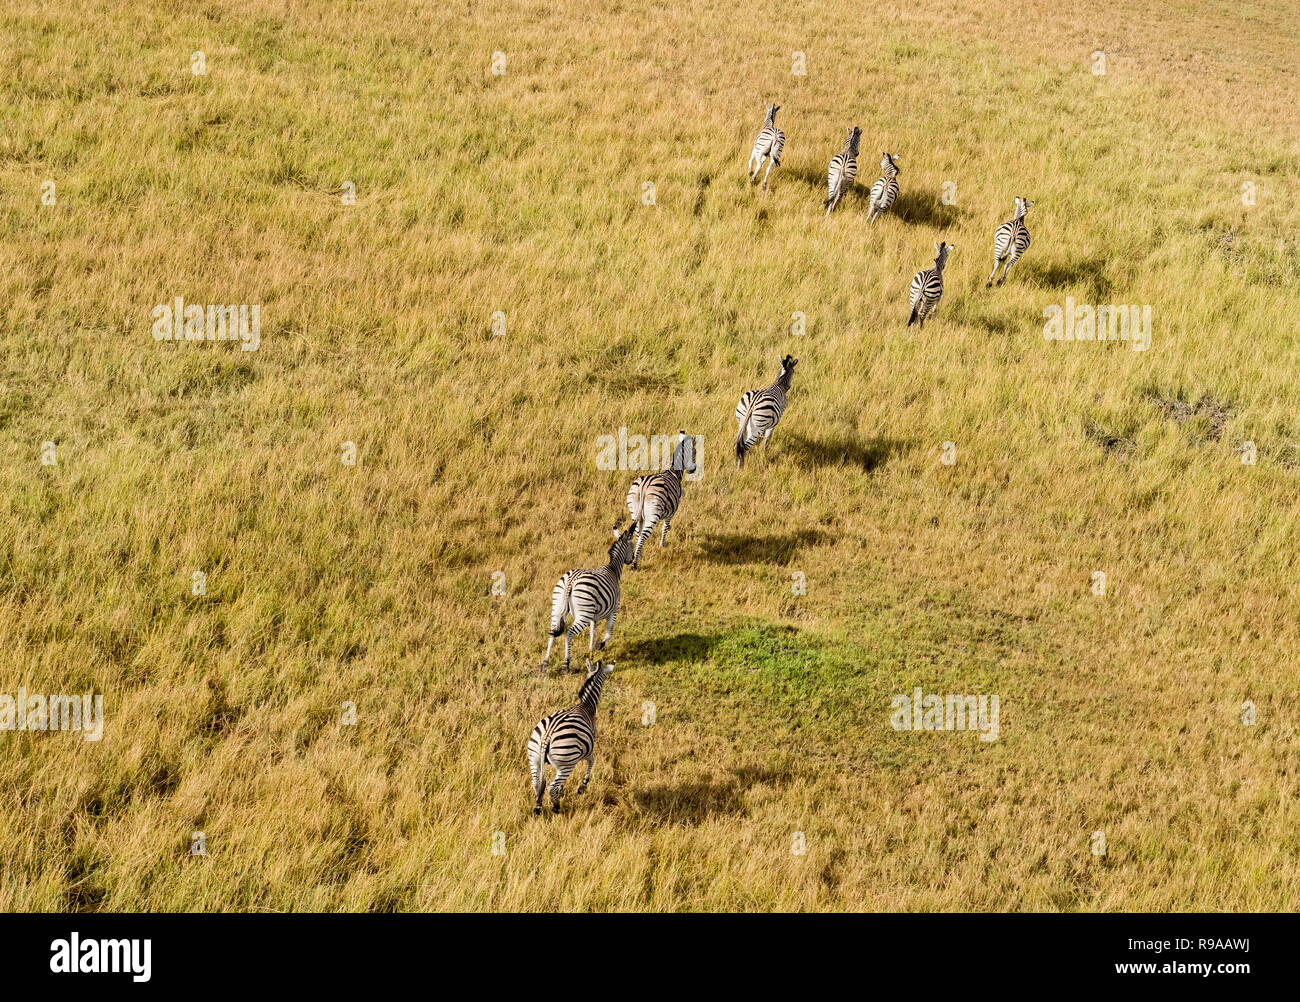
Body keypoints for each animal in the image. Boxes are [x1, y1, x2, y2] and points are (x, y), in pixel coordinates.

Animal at [528, 658, 613, 815]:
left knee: (536, 783)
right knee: (551, 787)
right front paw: (582, 787)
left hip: (535, 756)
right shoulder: (588, 750)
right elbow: (592, 762)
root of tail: (547, 736)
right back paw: (556, 807)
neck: (586, 705)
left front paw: (562, 791)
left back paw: (538, 806)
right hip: (567, 763)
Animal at [539, 523, 636, 674]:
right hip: (583, 614)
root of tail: (571, 580)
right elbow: (609, 633)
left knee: (552, 634)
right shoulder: (614, 610)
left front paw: (590, 651)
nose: (631, 560)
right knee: (569, 633)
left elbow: (592, 631)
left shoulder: (593, 616)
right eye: (633, 546)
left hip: (557, 607)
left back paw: (544, 663)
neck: (613, 570)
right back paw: (566, 664)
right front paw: (599, 646)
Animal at [626, 431, 696, 569]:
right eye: (695, 452)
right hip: (653, 514)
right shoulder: (672, 511)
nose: (693, 470)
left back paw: (637, 556)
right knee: (643, 535)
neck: (674, 472)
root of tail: (643, 486)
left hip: (635, 511)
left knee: (637, 533)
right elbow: (665, 527)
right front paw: (662, 545)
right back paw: (635, 564)